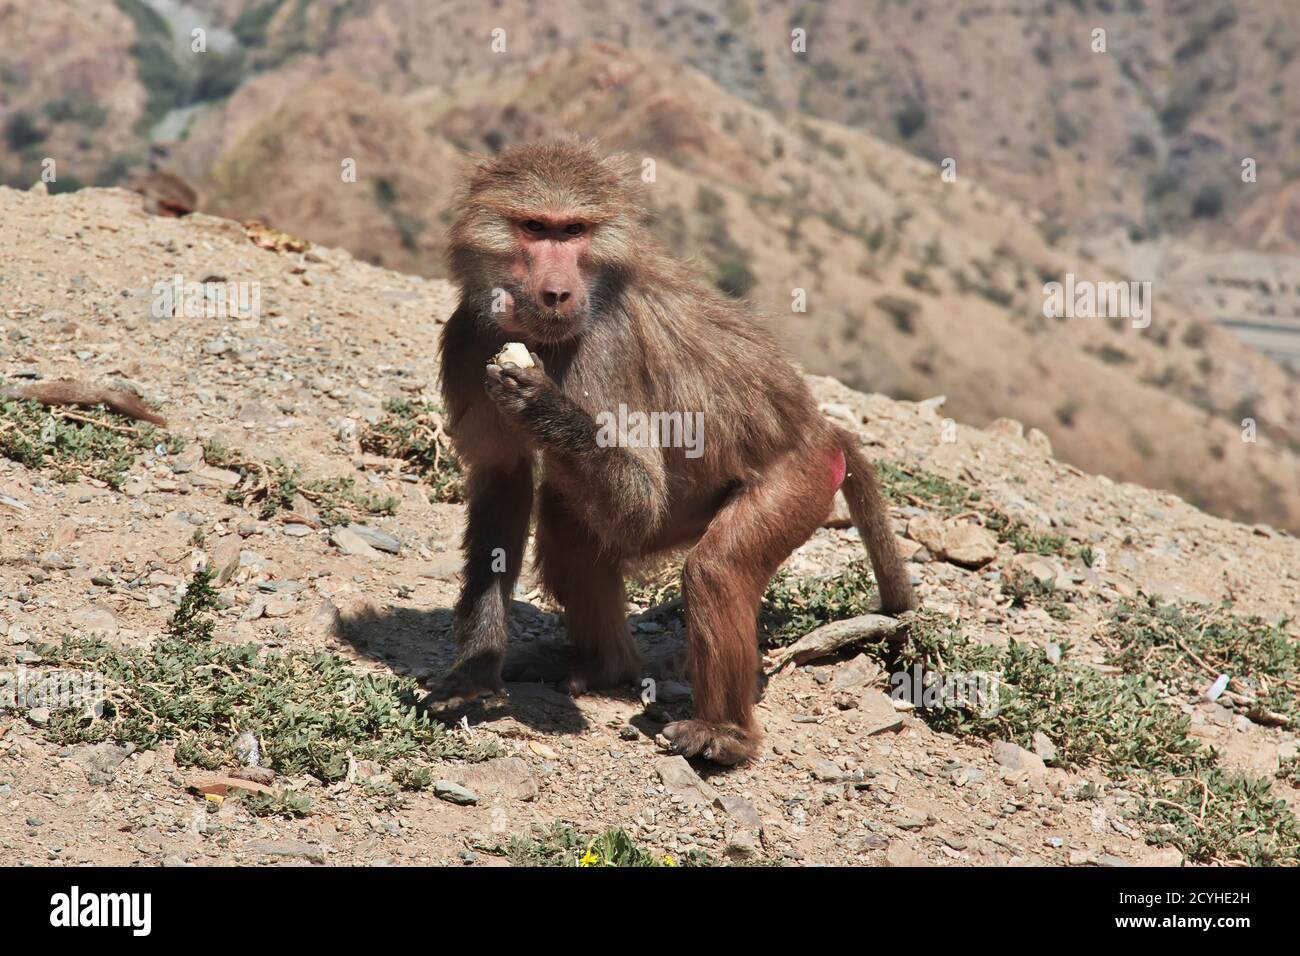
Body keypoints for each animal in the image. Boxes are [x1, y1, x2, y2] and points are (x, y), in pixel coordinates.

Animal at [431, 138, 916, 765]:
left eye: (574, 230)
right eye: (534, 227)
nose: (558, 293)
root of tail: (819, 429)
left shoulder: (604, 345)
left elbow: (639, 498)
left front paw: (540, 404)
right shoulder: (468, 336)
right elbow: (503, 481)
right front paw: (474, 674)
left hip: (800, 480)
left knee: (716, 569)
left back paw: (724, 734)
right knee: (569, 533)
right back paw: (604, 666)